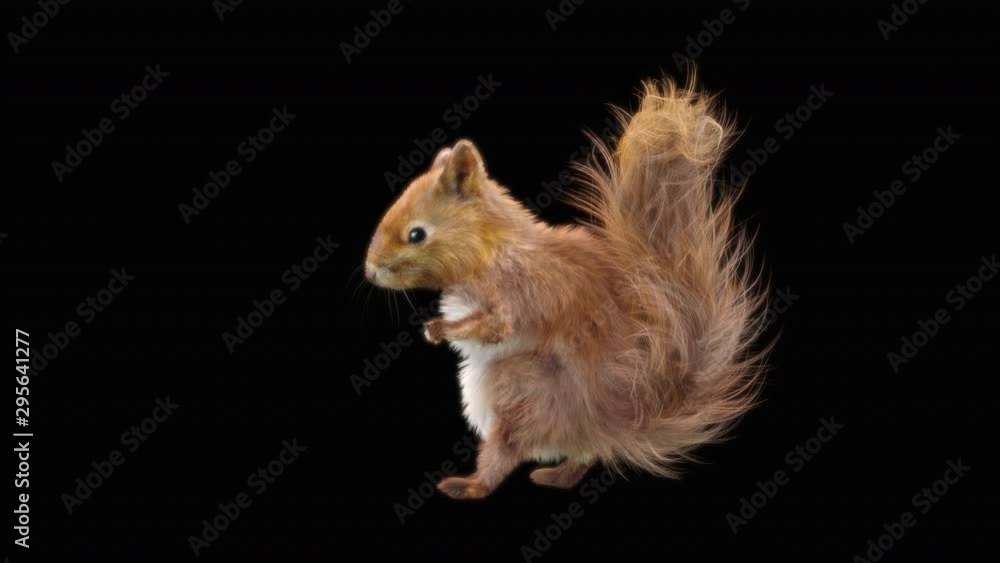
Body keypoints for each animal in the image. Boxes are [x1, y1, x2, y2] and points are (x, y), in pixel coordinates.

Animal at [364, 75, 770, 500]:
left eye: (416, 234)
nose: (370, 272)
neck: (493, 250)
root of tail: (617, 421)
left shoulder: (518, 289)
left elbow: (497, 327)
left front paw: (440, 329)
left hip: (526, 398)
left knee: (510, 451)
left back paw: (471, 485)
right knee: (584, 454)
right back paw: (556, 476)